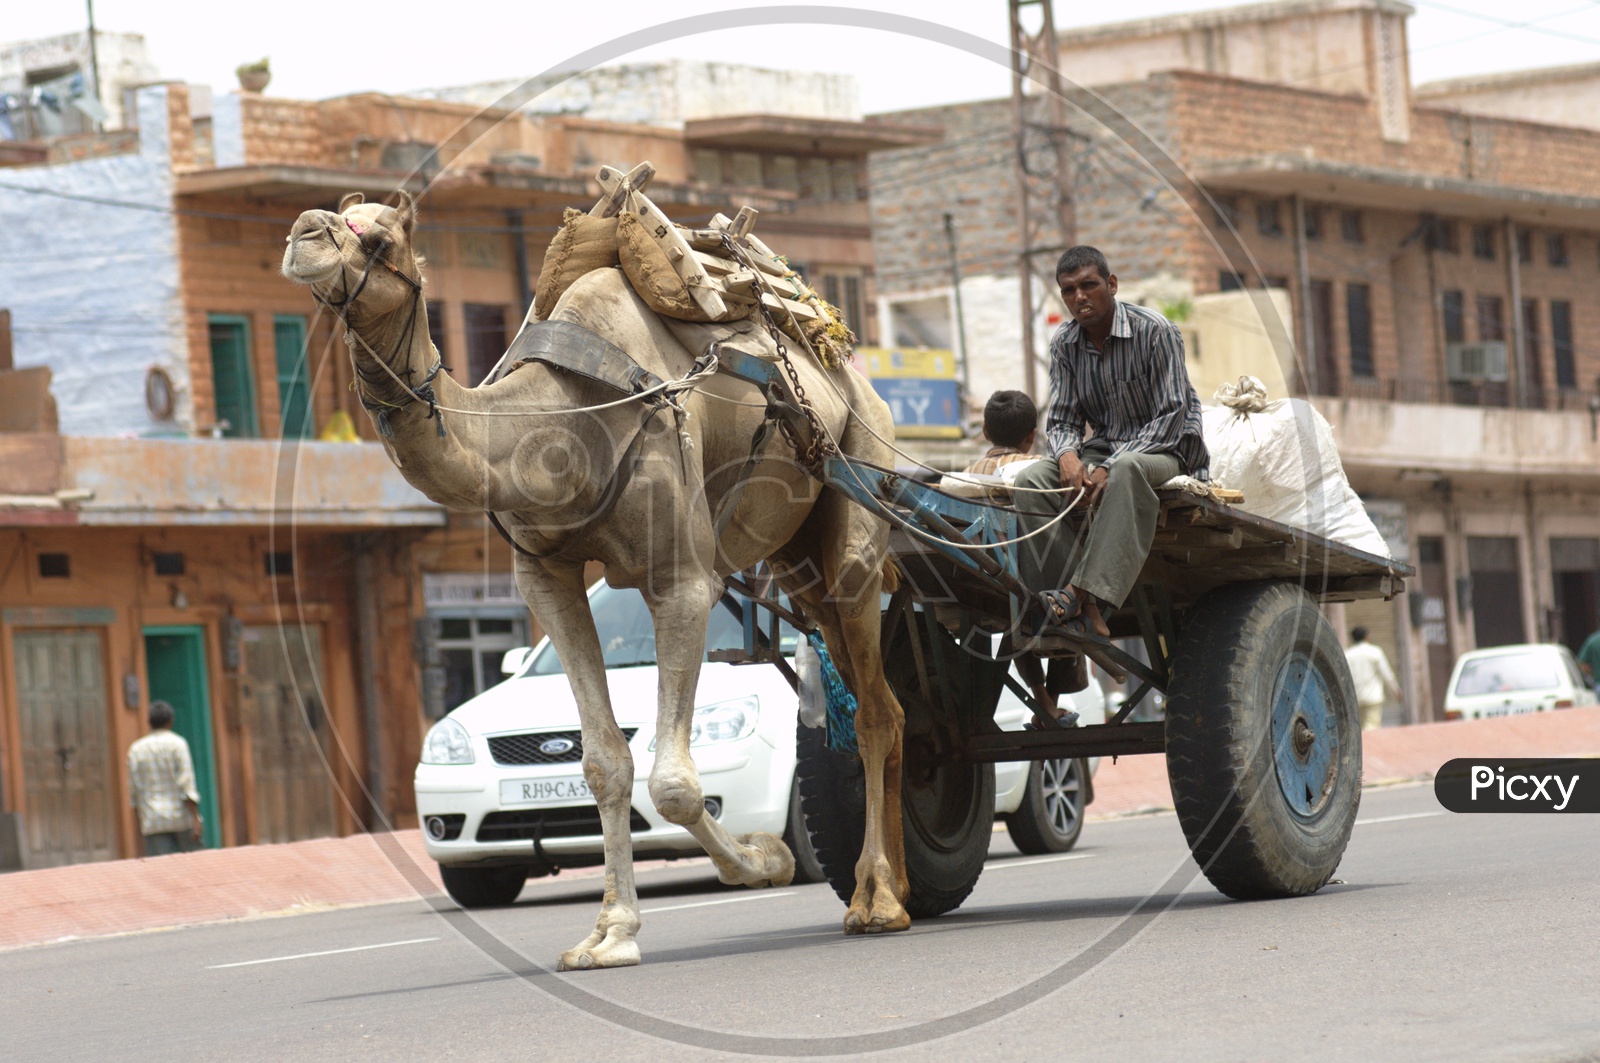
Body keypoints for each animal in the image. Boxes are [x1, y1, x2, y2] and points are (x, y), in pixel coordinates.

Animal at [282, 189, 912, 969]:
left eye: (380, 240)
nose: (303, 232)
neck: (558, 421)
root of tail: (847, 369)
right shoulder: (545, 578)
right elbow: (604, 763)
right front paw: (609, 931)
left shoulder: (682, 578)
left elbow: (673, 785)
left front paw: (764, 859)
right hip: (798, 559)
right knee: (877, 698)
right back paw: (899, 885)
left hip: (857, 489)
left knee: (876, 709)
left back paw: (877, 900)